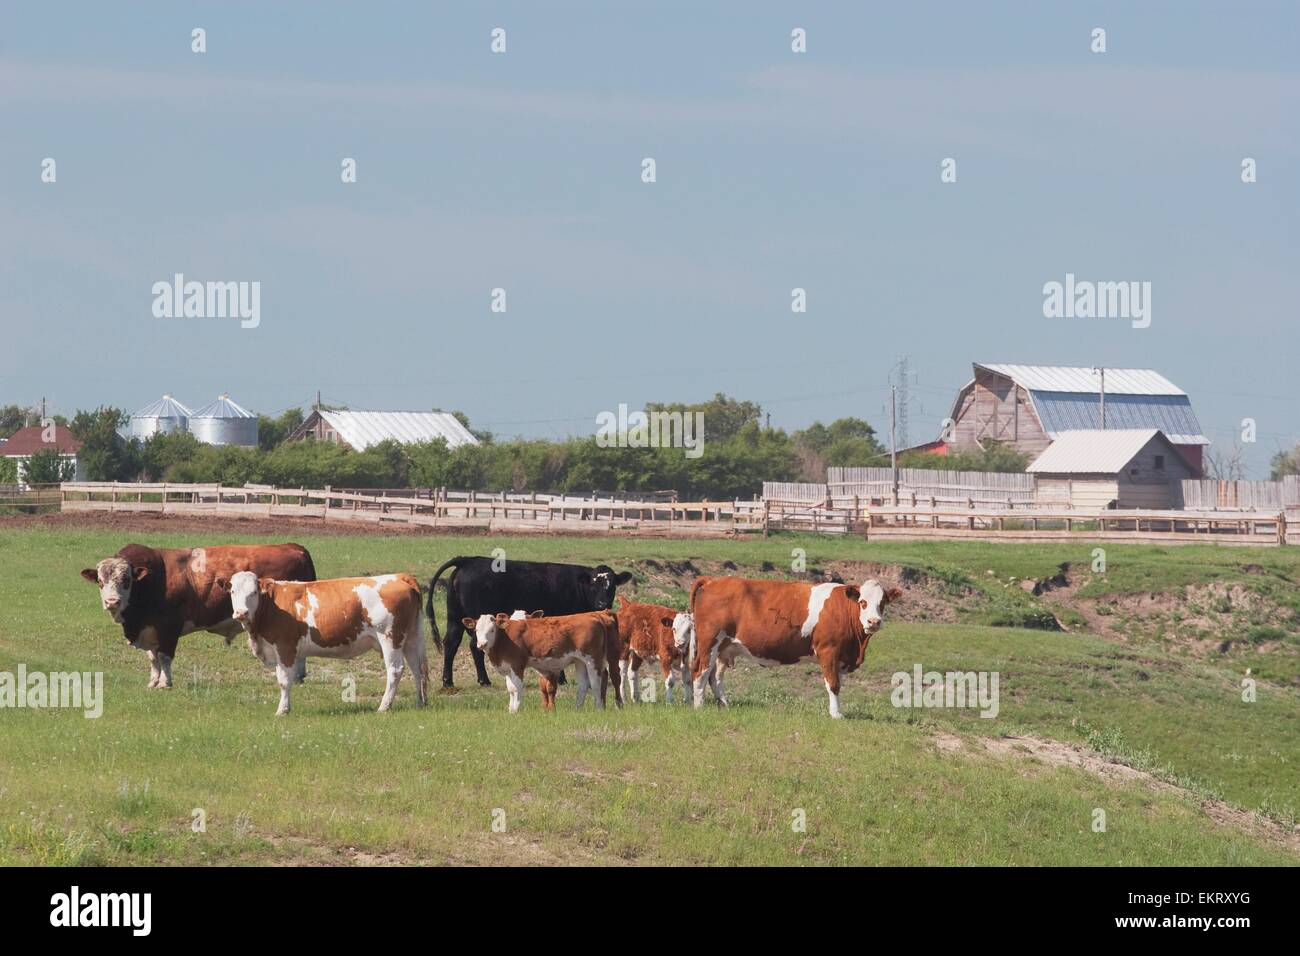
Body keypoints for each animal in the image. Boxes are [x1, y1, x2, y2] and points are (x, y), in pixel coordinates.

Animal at [80, 543, 316, 690]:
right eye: (100, 581)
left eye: (127, 580)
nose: (112, 601)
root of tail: (294, 547)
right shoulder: (149, 629)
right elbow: (153, 658)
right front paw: (153, 681)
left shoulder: (168, 628)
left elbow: (164, 657)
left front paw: (165, 683)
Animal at [222, 571, 430, 716]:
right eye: (232, 591)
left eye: (253, 592)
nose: (241, 613)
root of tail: (399, 576)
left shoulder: (285, 647)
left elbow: (284, 681)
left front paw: (282, 710)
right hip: (411, 638)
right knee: (417, 669)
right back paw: (420, 703)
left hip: (389, 637)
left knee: (395, 670)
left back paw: (384, 706)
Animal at [428, 556, 634, 689]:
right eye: (593, 585)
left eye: (611, 586)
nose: (602, 604)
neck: (578, 587)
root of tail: (468, 560)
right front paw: (561, 678)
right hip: (479, 619)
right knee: (473, 645)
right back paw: (483, 680)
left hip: (455, 618)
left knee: (451, 643)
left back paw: (448, 682)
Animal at [464, 610, 622, 712]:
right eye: (476, 630)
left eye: (491, 630)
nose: (482, 644)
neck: (504, 638)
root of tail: (595, 616)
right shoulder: (507, 667)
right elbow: (510, 689)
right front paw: (511, 709)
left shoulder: (517, 665)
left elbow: (517, 688)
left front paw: (516, 709)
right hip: (580, 661)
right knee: (583, 684)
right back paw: (578, 708)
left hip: (592, 659)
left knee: (597, 682)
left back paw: (599, 708)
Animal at [684, 577, 901, 718]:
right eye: (862, 602)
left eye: (882, 603)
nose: (874, 622)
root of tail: (713, 580)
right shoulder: (828, 651)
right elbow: (833, 684)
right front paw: (836, 714)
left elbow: (837, 683)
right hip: (709, 643)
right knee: (700, 673)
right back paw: (699, 707)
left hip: (723, 648)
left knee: (715, 677)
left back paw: (724, 705)